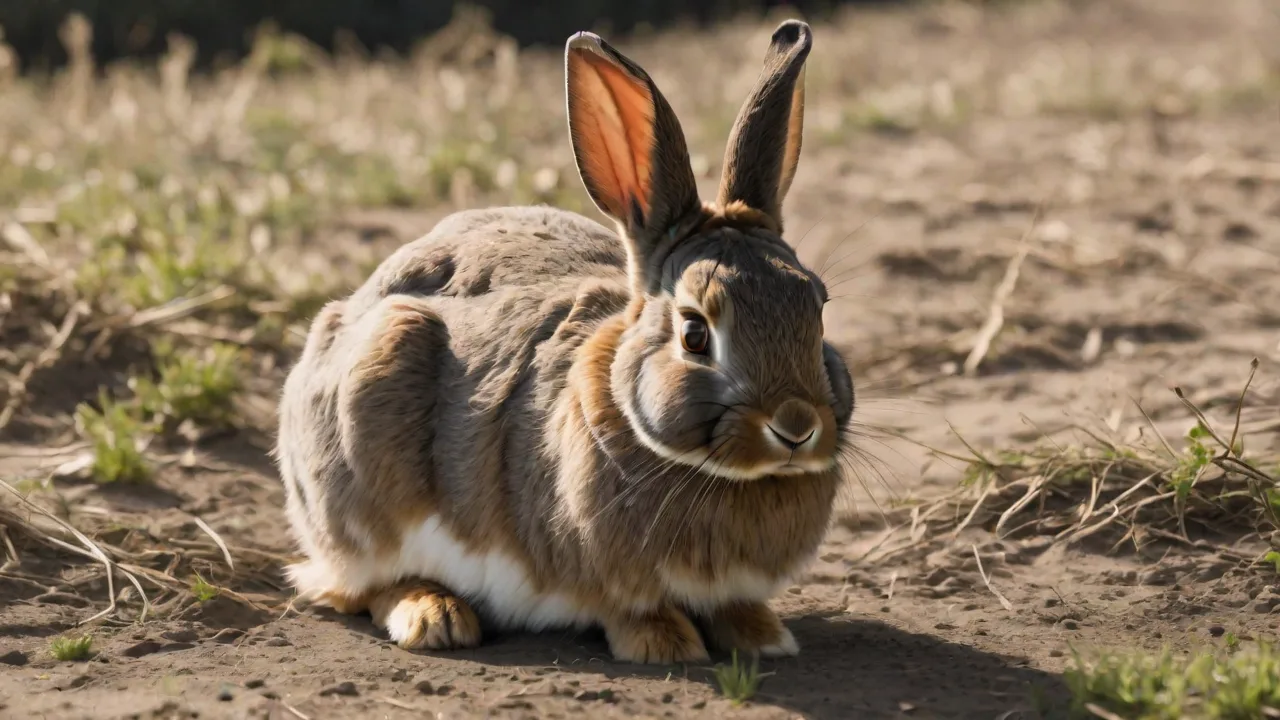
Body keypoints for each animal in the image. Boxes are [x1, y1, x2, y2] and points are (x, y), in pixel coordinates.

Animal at [275, 18, 855, 664]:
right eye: (694, 332)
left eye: (817, 309)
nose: (796, 426)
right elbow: (631, 609)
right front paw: (665, 645)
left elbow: (732, 606)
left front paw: (762, 636)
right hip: (369, 438)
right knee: (361, 585)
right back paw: (435, 616)